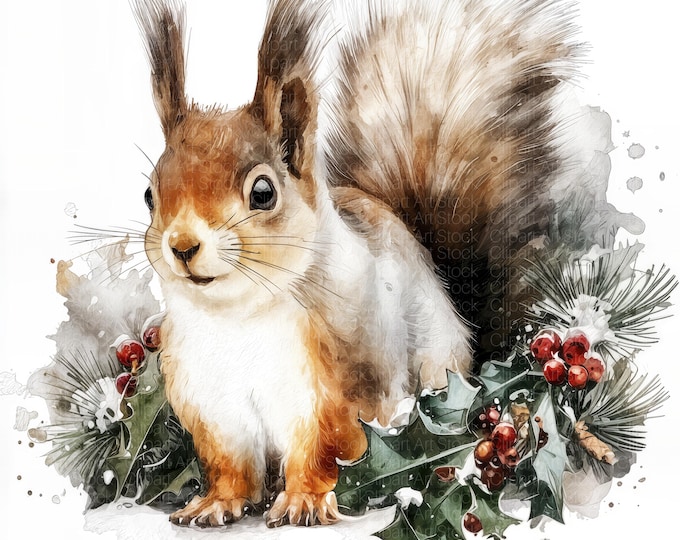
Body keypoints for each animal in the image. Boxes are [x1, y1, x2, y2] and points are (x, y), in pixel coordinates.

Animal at [133, 0, 580, 528]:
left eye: (263, 193)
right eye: (149, 195)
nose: (182, 246)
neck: (240, 315)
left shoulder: (343, 387)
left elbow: (326, 450)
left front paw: (306, 499)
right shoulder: (212, 404)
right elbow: (231, 464)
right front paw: (217, 501)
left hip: (437, 378)